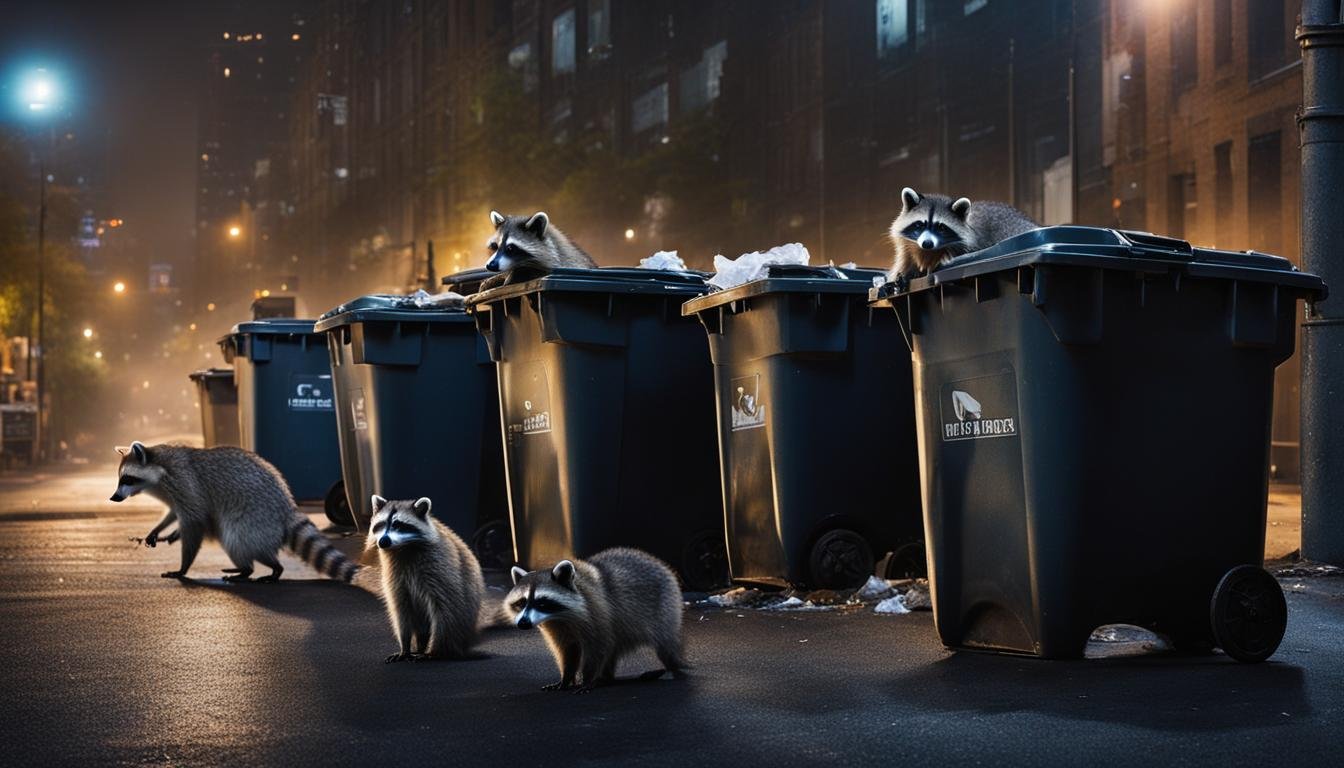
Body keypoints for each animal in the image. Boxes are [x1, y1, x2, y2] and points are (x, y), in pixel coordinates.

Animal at [110, 441, 359, 583]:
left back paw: (260, 568)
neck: (157, 475)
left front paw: (183, 567)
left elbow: (195, 520)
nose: (114, 498)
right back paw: (252, 569)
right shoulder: (173, 494)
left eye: (127, 479)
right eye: (120, 479)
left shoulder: (184, 482)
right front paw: (161, 529)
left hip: (255, 520)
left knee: (236, 539)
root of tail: (286, 507)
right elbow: (174, 513)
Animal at [367, 495, 486, 662]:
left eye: (399, 525)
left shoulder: (439, 568)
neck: (403, 548)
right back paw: (420, 647)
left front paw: (433, 651)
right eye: (381, 524)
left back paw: (437, 651)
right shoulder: (395, 576)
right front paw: (405, 646)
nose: (383, 541)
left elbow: (445, 607)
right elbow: (400, 610)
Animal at [506, 547, 687, 692]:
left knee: (665, 643)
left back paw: (672, 667)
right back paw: (606, 678)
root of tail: (658, 562)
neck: (558, 617)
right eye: (521, 602)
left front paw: (587, 678)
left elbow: (596, 647)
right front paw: (566, 677)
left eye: (542, 602)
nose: (523, 623)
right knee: (612, 648)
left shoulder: (596, 612)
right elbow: (567, 650)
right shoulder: (555, 627)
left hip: (665, 607)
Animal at [889, 187, 1038, 281]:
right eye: (919, 224)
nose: (927, 243)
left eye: (941, 227)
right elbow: (905, 264)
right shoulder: (907, 252)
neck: (928, 252)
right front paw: (902, 276)